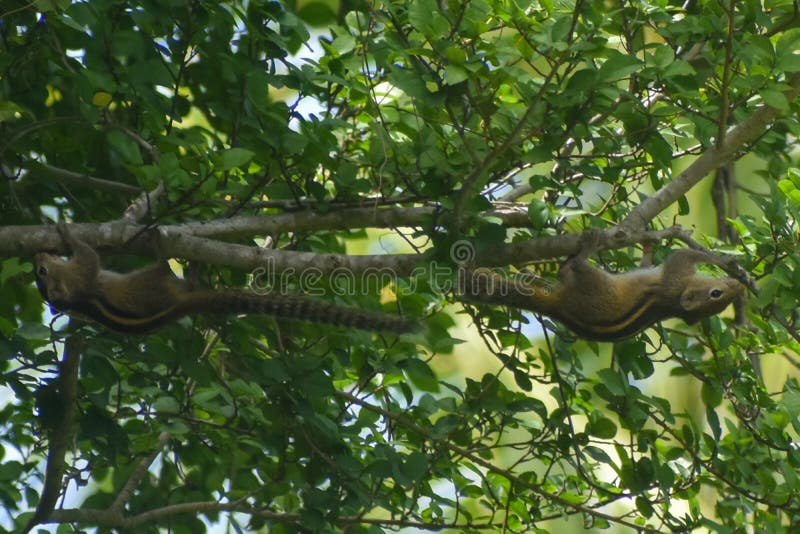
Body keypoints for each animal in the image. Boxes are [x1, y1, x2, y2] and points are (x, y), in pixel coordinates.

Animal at [34, 224, 416, 335]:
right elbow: (90, 257)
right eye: (42, 274)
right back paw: (166, 249)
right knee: (164, 269)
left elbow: (96, 255)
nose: (38, 258)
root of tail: (183, 305)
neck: (71, 296)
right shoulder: (84, 277)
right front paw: (67, 232)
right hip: (152, 282)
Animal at [459, 234, 745, 341]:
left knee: (569, 269)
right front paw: (649, 245)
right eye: (718, 294)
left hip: (595, 283)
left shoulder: (676, 275)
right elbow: (650, 262)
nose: (739, 286)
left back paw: (587, 246)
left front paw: (723, 259)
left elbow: (684, 254)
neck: (676, 305)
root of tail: (560, 308)